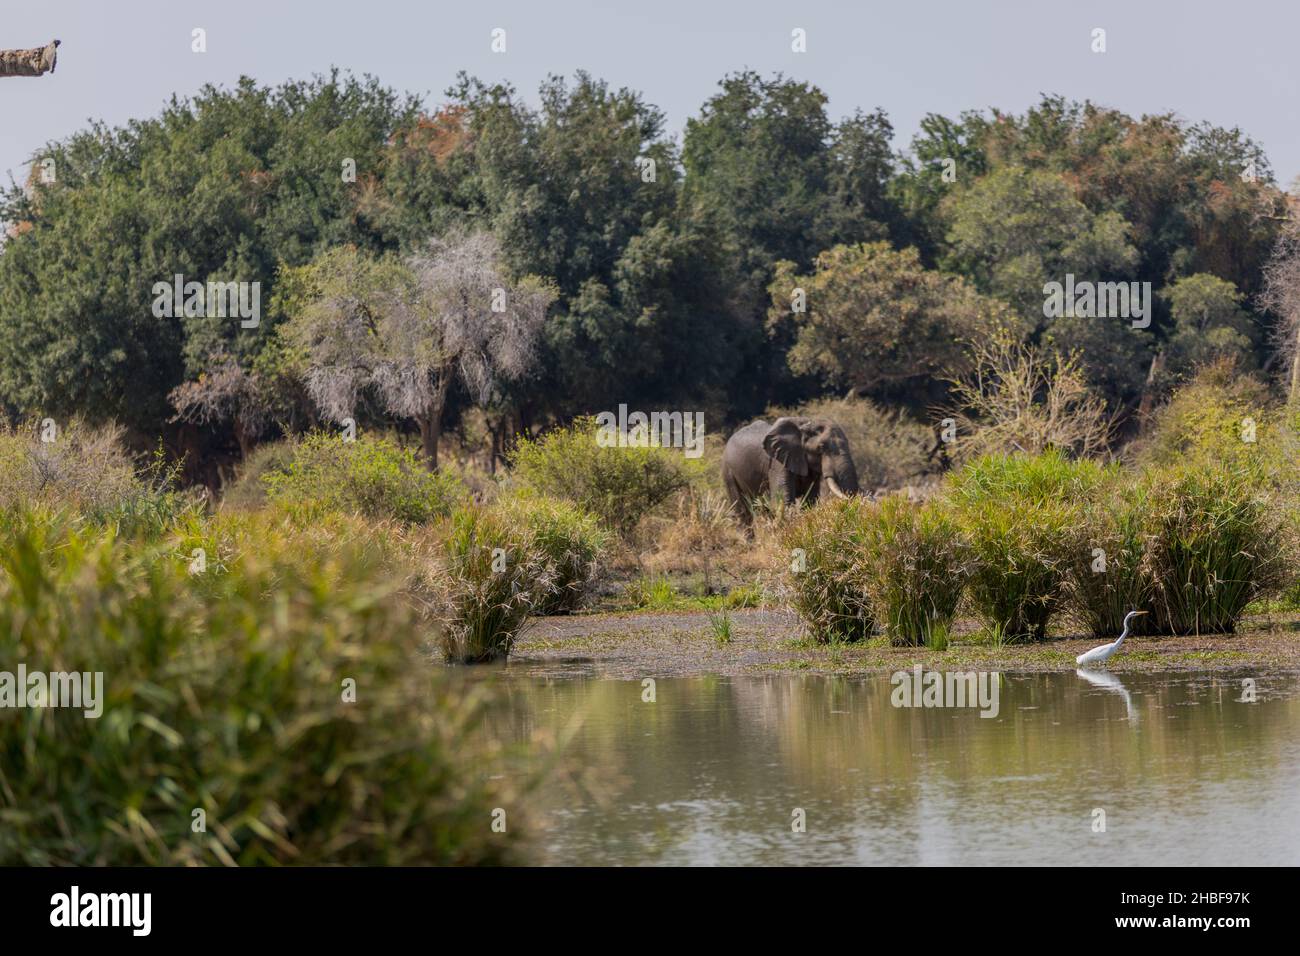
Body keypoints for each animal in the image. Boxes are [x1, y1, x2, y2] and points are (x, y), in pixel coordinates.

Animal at [721, 417, 862, 532]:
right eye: (821, 448)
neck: (806, 423)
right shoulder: (777, 463)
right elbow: (783, 501)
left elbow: (810, 501)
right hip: (728, 471)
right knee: (743, 512)